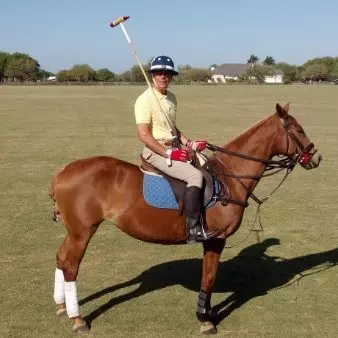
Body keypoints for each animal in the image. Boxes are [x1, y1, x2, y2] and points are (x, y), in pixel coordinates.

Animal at [48, 102, 320, 332]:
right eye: (299, 129)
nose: (317, 157)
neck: (231, 176)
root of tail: (61, 174)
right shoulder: (215, 238)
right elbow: (209, 277)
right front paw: (205, 319)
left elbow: (209, 277)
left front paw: (208, 313)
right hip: (83, 230)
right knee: (70, 264)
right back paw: (78, 319)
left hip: (74, 230)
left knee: (60, 257)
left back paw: (61, 307)